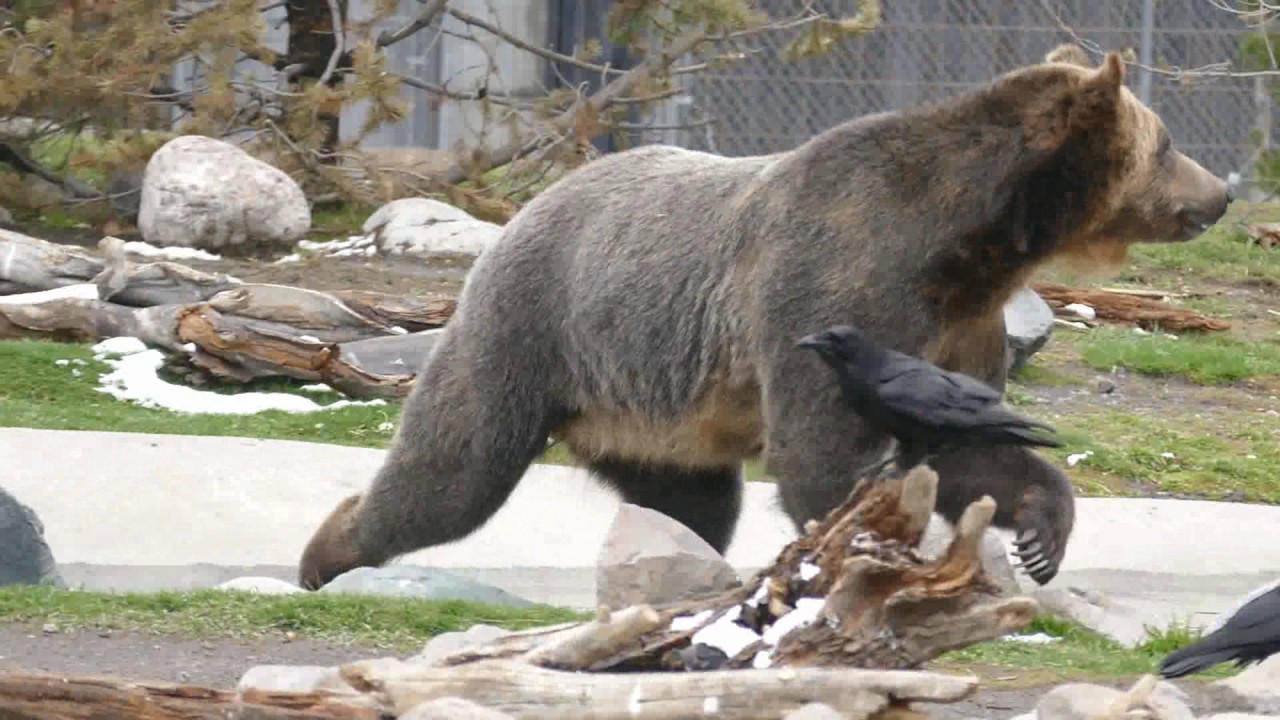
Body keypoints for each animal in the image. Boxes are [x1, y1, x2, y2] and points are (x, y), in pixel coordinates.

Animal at [297, 44, 1233, 591]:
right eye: (1166, 143)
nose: (1219, 193)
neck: (972, 244)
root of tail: (535, 202)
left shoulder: (961, 329)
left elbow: (970, 442)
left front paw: (1042, 531)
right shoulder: (838, 280)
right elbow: (820, 448)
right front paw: (857, 551)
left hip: (658, 418)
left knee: (692, 506)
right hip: (534, 329)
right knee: (453, 471)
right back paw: (326, 552)